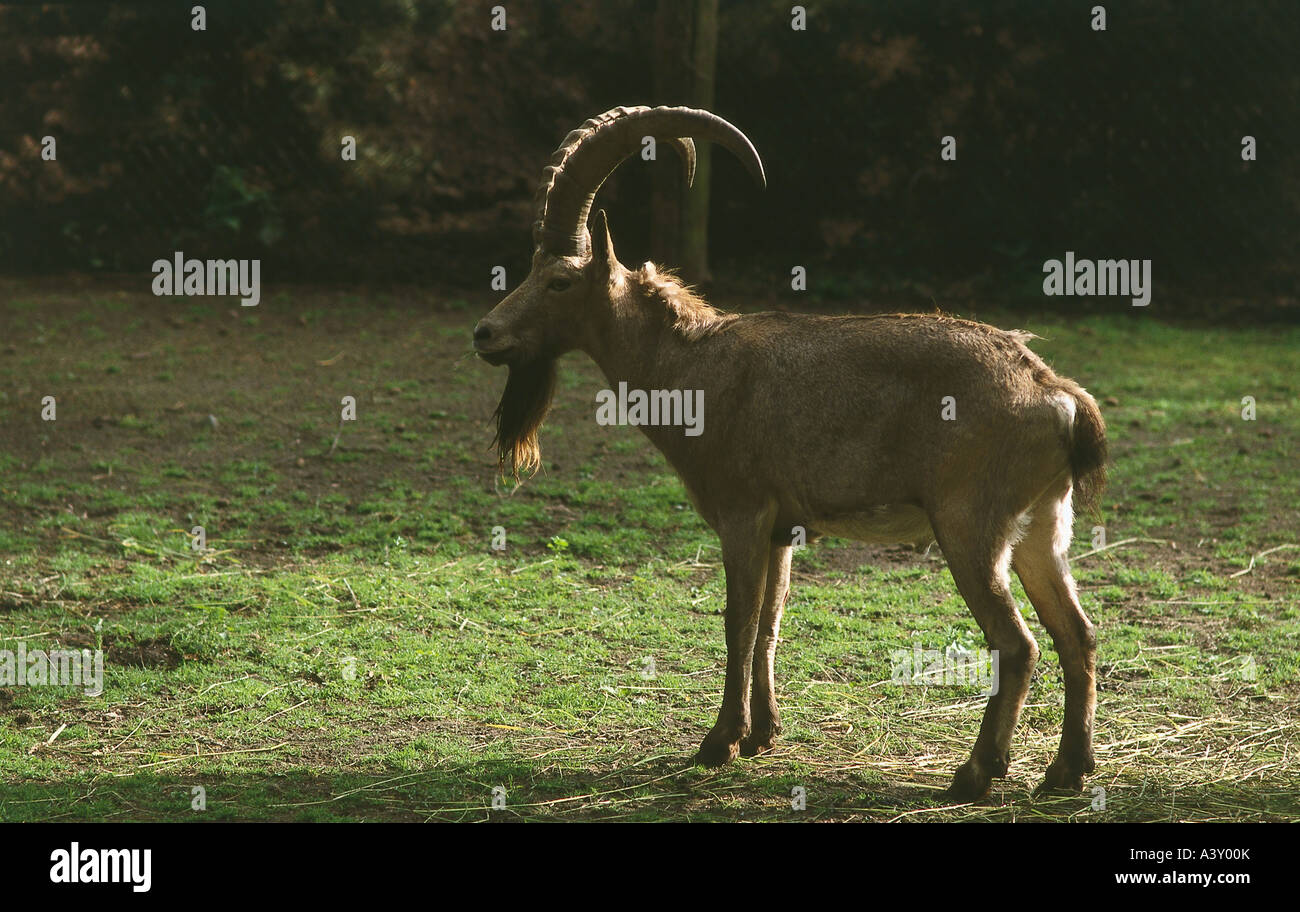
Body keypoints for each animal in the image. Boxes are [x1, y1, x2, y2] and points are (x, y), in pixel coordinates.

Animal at [473, 106, 1107, 801]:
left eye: (559, 280)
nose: (485, 333)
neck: (692, 368)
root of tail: (1057, 394)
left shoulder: (742, 512)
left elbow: (739, 620)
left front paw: (718, 744)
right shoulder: (783, 529)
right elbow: (770, 625)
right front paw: (762, 735)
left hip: (972, 527)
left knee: (1017, 644)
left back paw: (975, 773)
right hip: (1043, 526)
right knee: (1077, 634)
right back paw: (1067, 770)